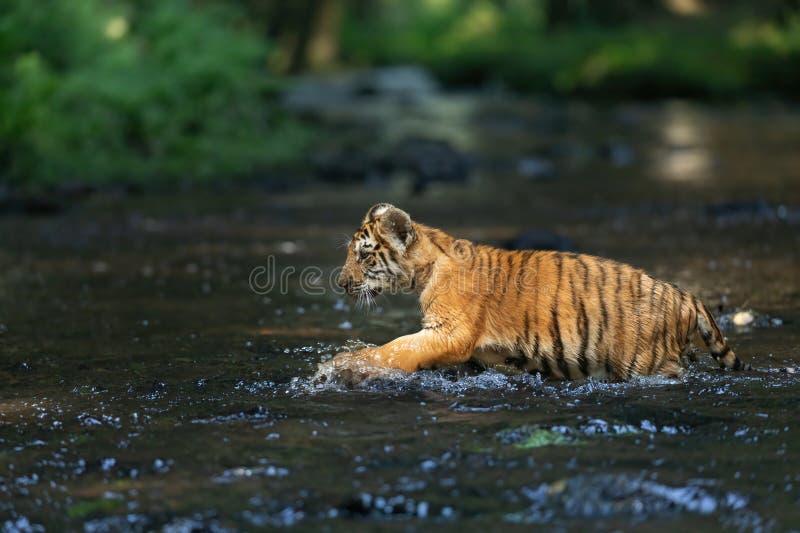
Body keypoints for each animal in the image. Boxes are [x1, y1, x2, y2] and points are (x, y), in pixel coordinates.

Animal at [324, 203, 745, 381]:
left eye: (363, 255)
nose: (341, 284)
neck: (427, 268)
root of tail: (684, 295)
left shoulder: (449, 332)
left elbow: (395, 348)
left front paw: (341, 365)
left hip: (646, 362)